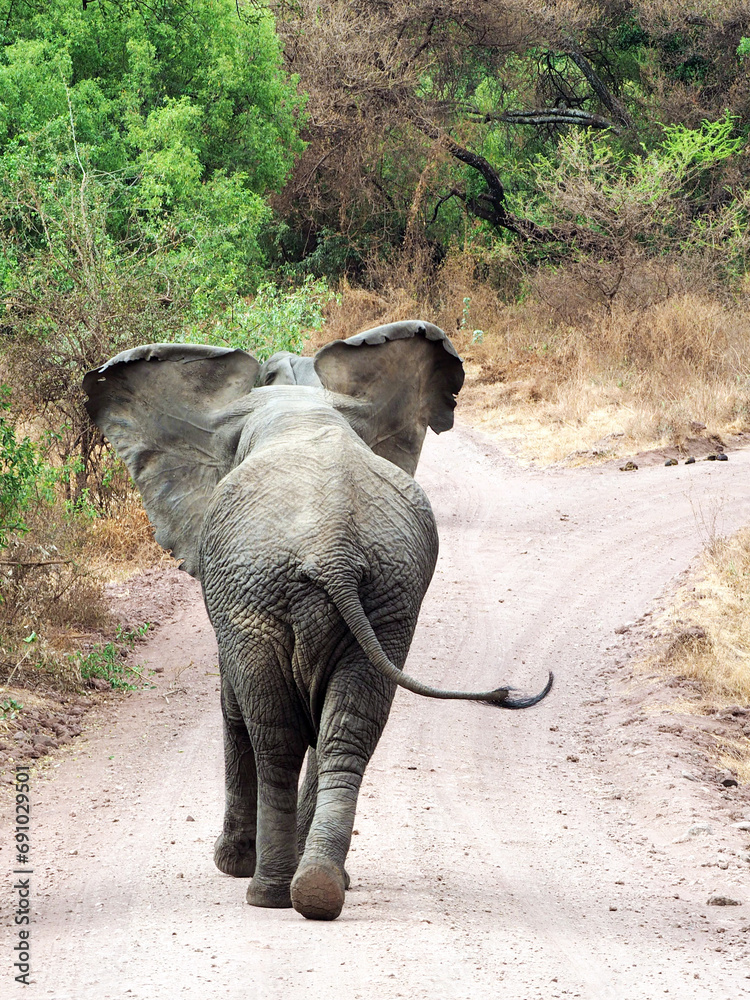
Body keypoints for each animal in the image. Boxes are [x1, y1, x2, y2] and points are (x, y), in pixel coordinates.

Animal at [83, 319, 552, 921]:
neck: (301, 402)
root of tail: (333, 548)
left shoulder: (228, 597)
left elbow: (233, 706)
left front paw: (230, 863)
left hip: (261, 592)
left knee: (275, 736)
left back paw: (266, 893)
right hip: (389, 598)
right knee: (347, 731)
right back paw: (320, 888)